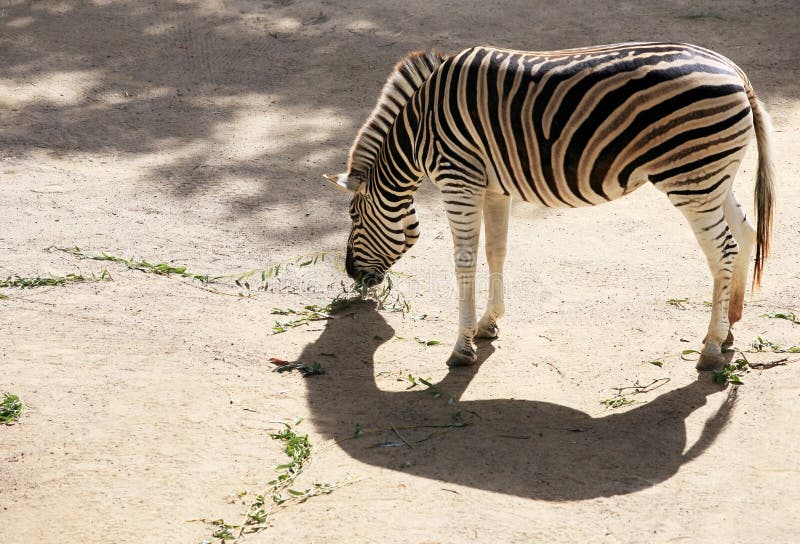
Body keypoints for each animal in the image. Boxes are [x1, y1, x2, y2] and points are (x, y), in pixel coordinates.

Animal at [325, 42, 775, 371]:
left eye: (352, 216)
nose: (350, 274)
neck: (419, 131)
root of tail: (736, 73)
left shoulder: (458, 179)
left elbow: (464, 262)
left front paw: (462, 346)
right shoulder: (494, 188)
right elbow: (496, 251)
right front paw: (489, 323)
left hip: (690, 178)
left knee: (723, 251)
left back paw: (711, 347)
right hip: (713, 176)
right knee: (746, 232)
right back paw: (730, 327)